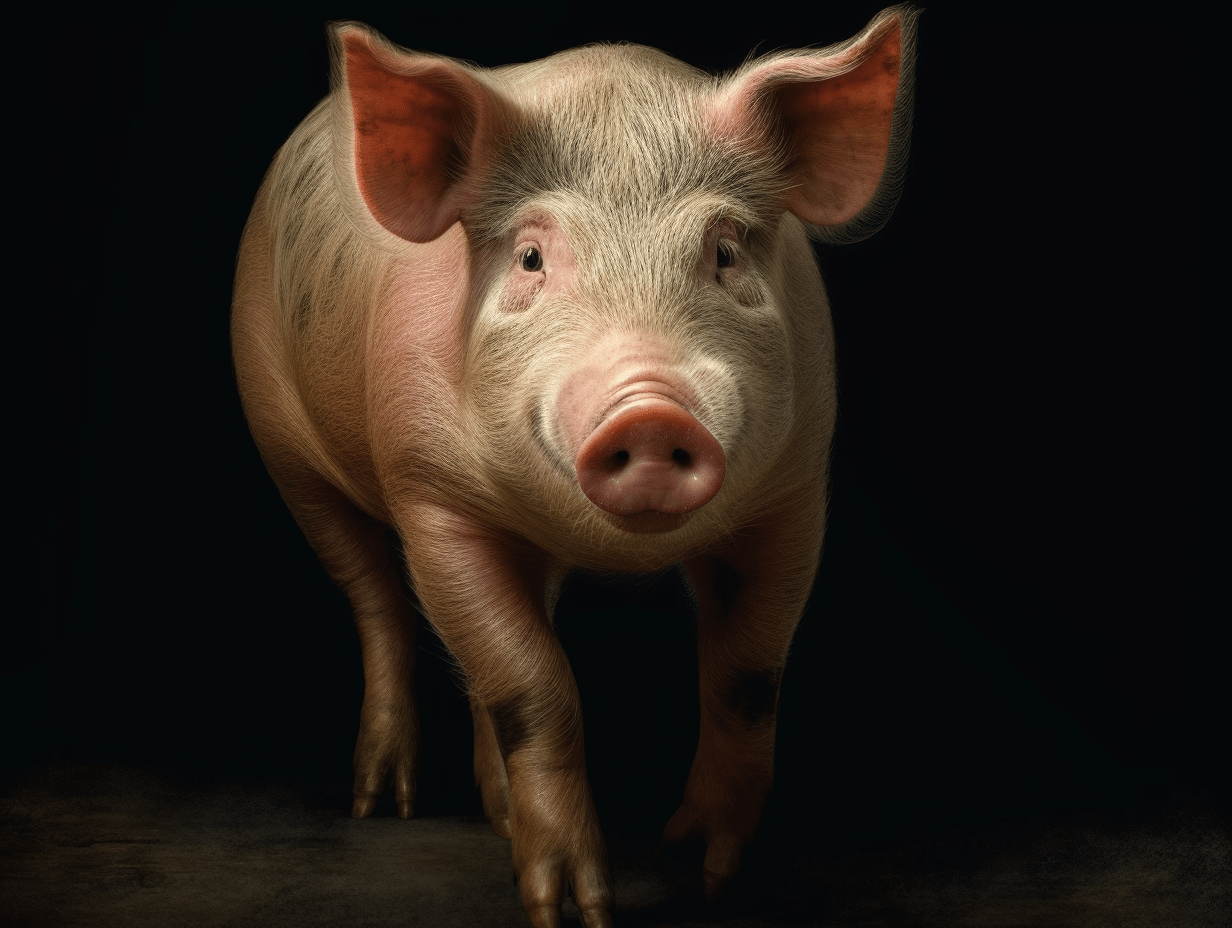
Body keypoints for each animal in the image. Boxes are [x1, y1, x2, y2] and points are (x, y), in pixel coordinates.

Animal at [232, 7, 916, 927]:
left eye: (726, 252)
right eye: (530, 258)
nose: (650, 409)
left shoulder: (798, 487)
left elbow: (747, 672)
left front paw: (702, 869)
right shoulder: (431, 494)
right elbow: (531, 687)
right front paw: (573, 909)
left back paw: (492, 813)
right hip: (284, 442)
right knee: (376, 600)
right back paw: (383, 804)